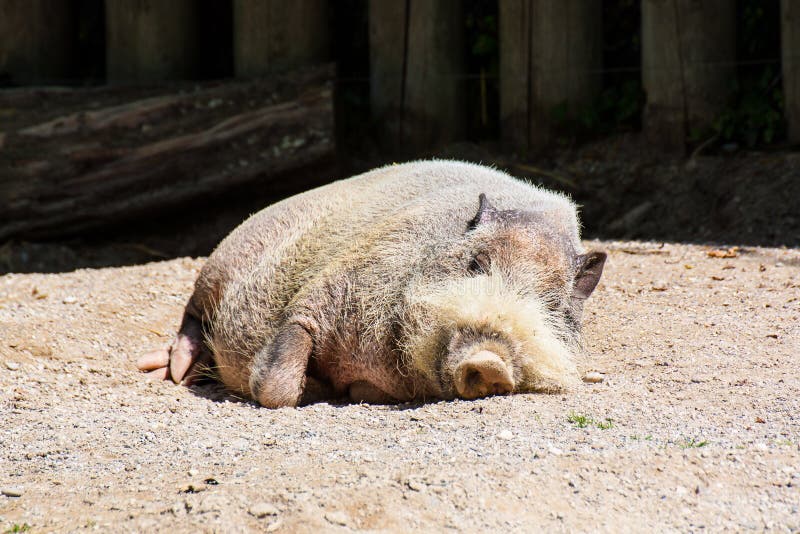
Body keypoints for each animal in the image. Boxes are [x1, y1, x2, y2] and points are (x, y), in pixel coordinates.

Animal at [137, 160, 606, 407]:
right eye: (476, 263)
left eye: (554, 306)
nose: (490, 361)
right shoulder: (318, 298)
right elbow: (279, 384)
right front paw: (312, 389)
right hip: (219, 264)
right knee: (192, 316)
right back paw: (170, 373)